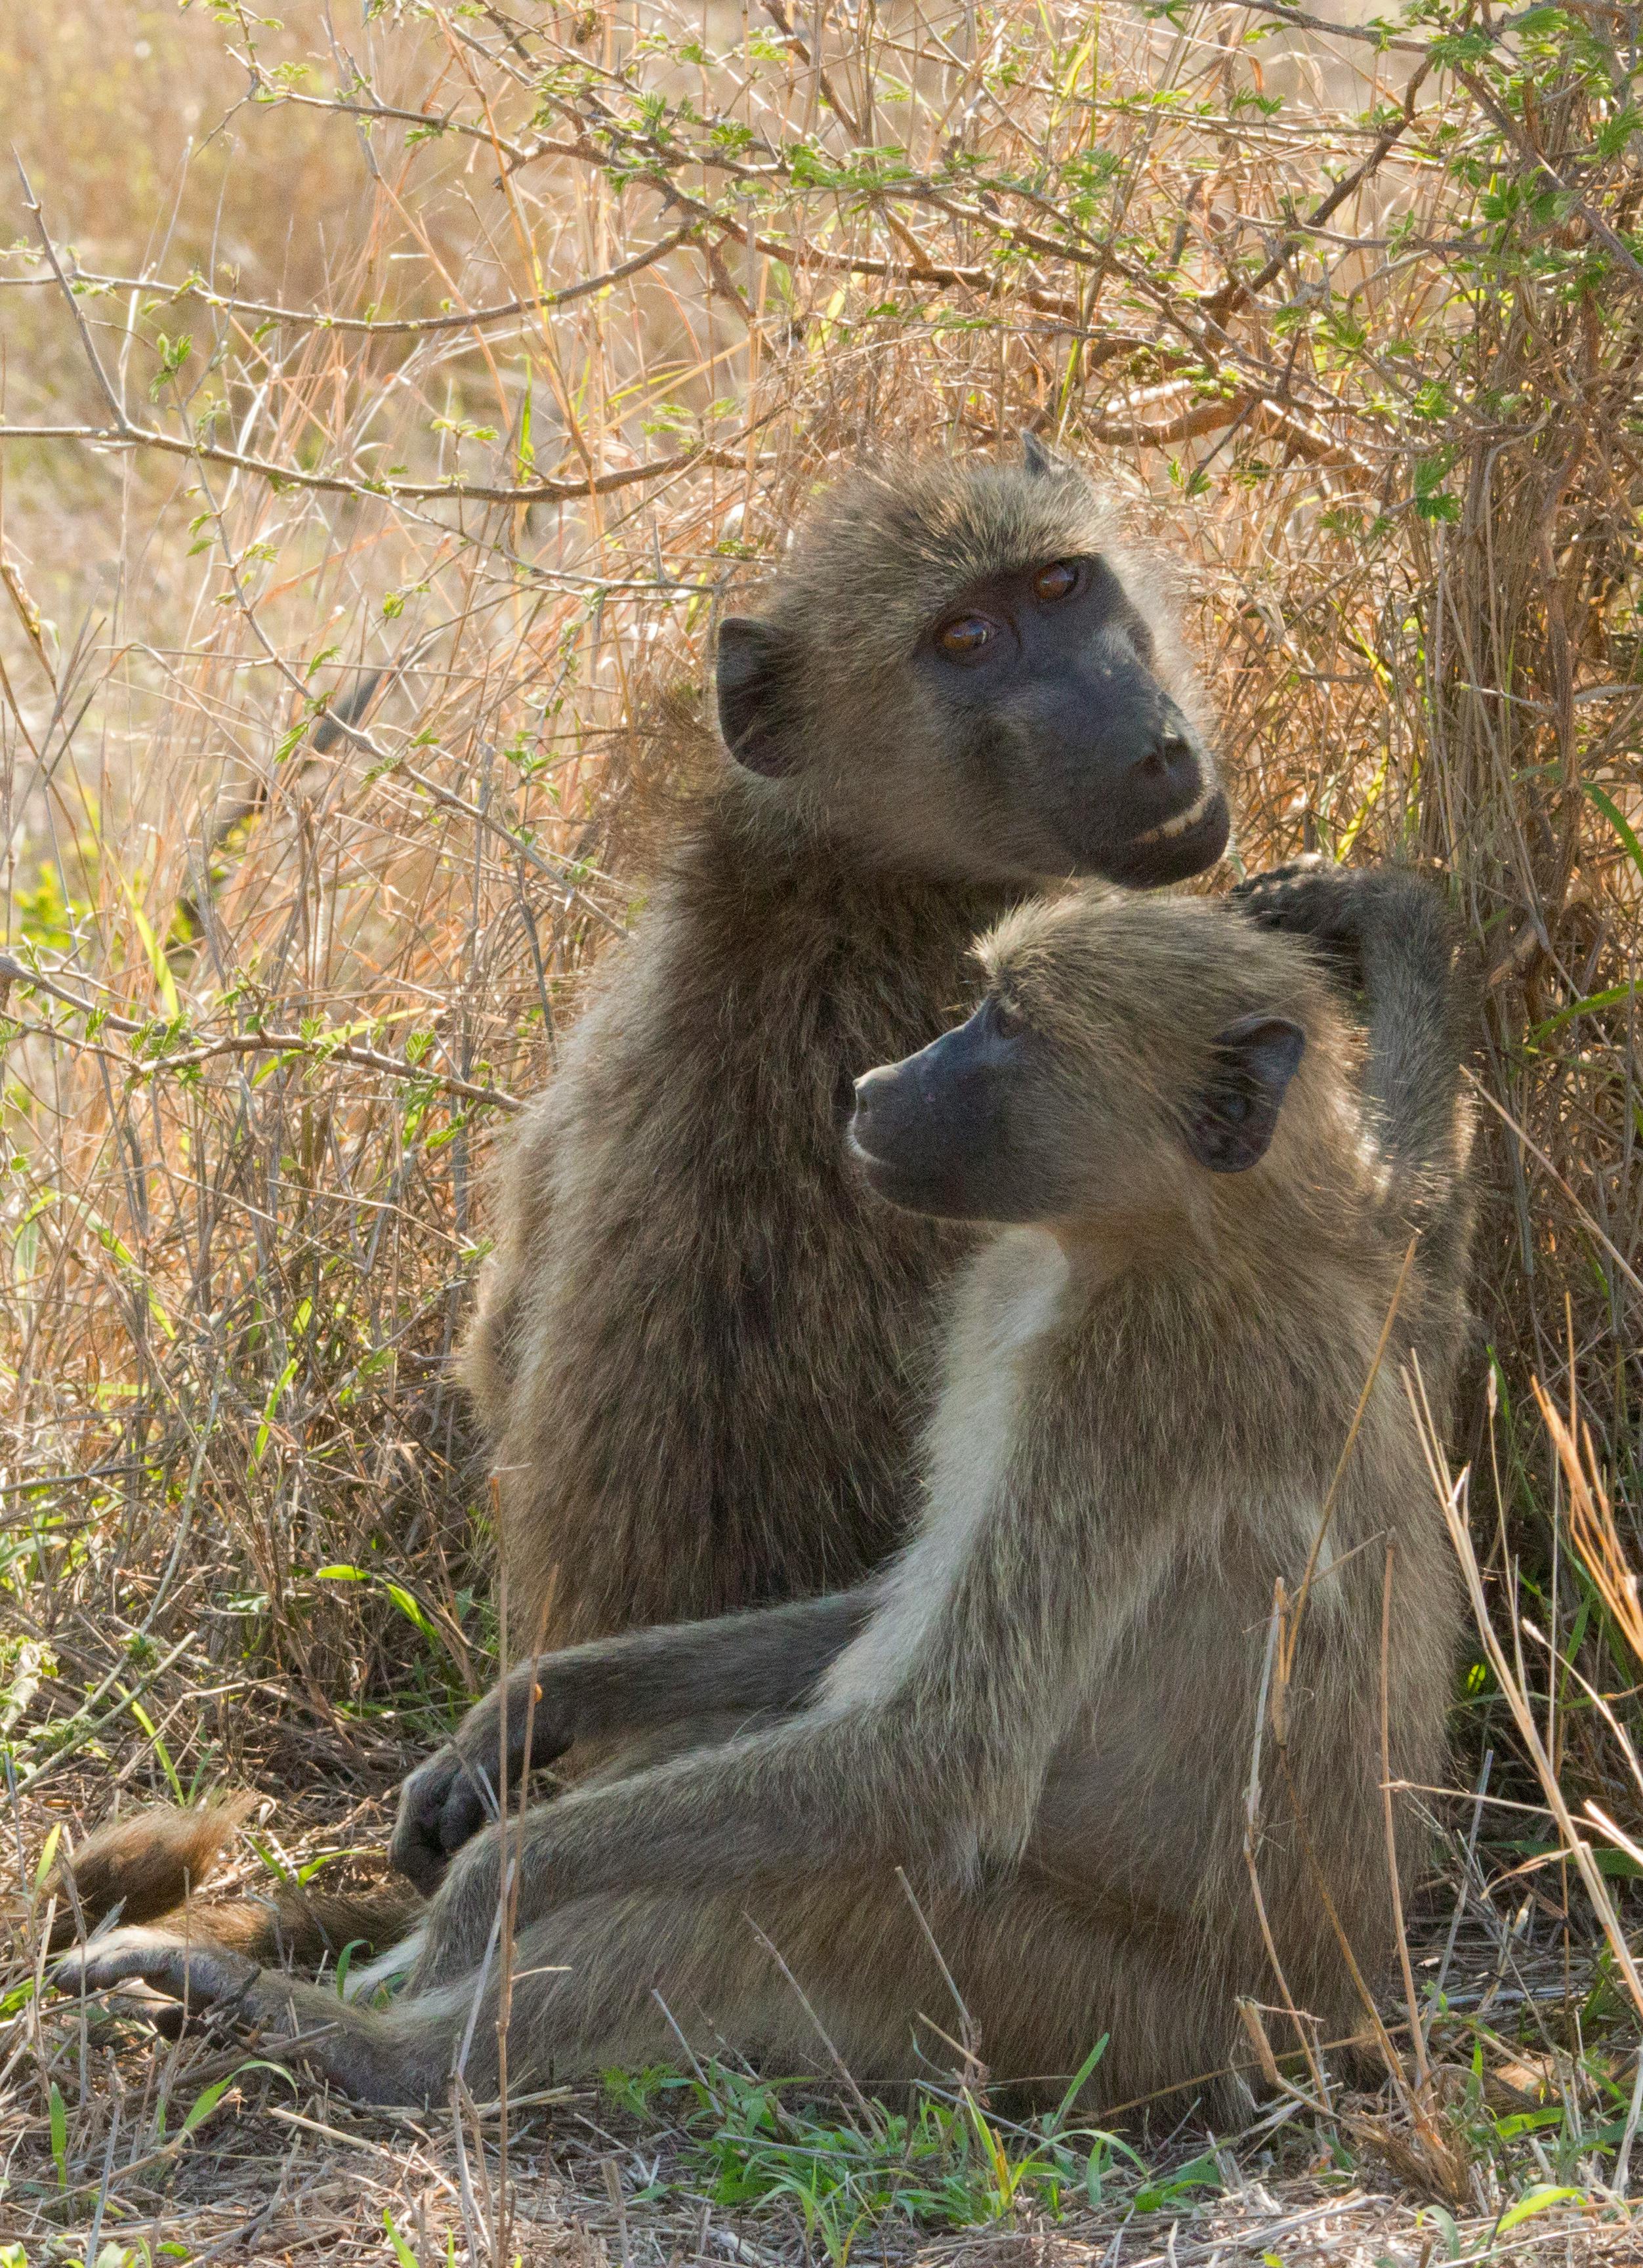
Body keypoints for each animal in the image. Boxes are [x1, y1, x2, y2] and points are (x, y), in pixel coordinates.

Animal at [59, 863, 1473, 2116]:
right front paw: (525, 1716)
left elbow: (936, 1750)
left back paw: (335, 2033)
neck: (1160, 1235)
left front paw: (484, 1893)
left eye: (1005, 1024)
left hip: (1099, 2014)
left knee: (780, 1888)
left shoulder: (1121, 1402)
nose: (877, 1088)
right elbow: (880, 1619)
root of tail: (1348, 2013)